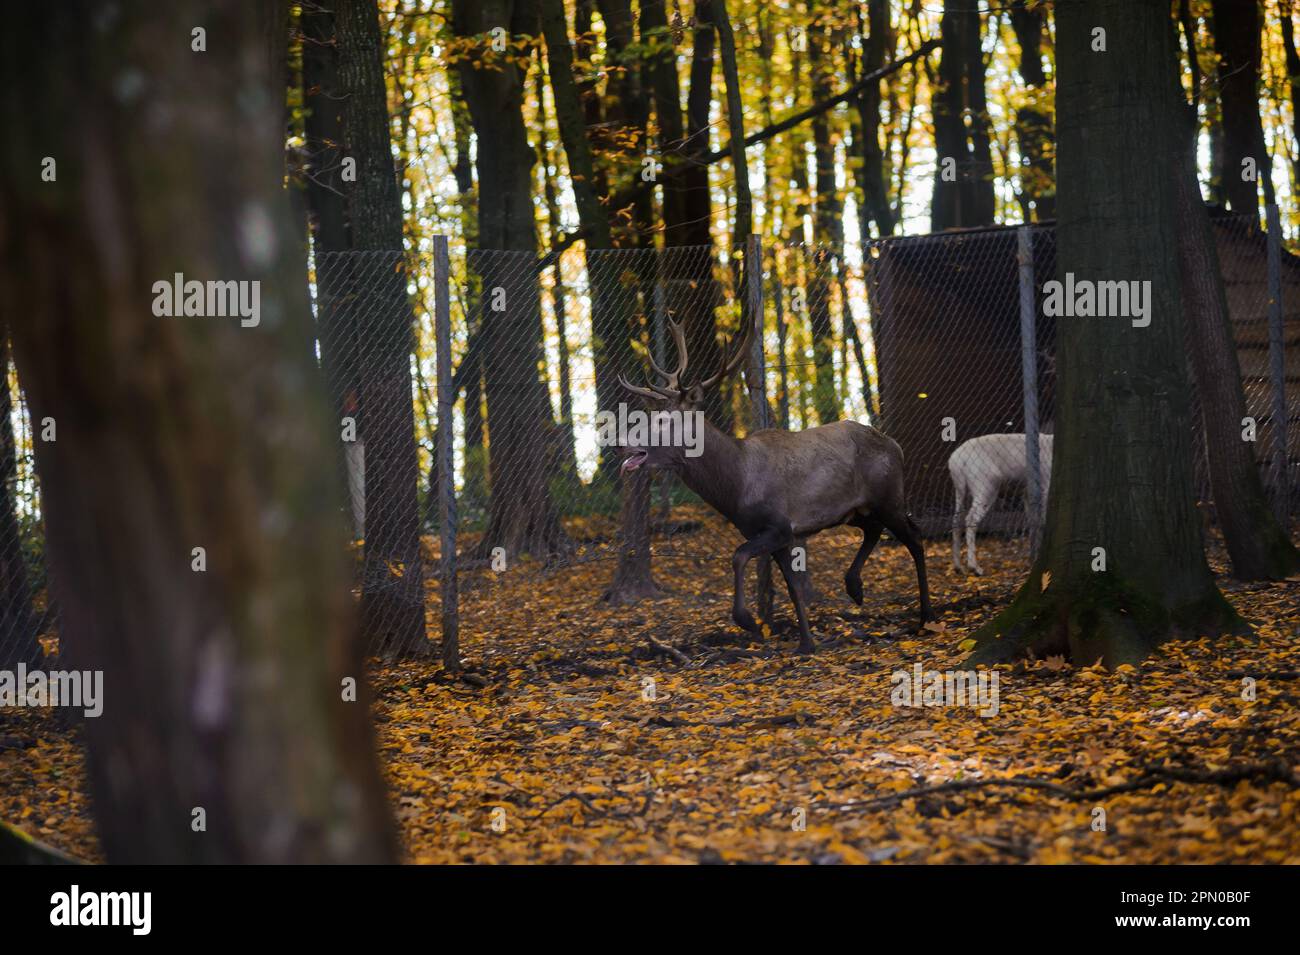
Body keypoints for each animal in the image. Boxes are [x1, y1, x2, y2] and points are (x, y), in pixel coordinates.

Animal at [617, 319, 932, 654]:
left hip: (889, 495)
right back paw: (855, 587)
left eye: (663, 420)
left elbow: (739, 556)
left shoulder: (778, 525)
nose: (620, 443)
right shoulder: (772, 533)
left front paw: (748, 621)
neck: (736, 486)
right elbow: (793, 586)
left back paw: (925, 617)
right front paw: (806, 643)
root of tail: (896, 446)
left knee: (914, 537)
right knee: (874, 530)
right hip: (857, 509)